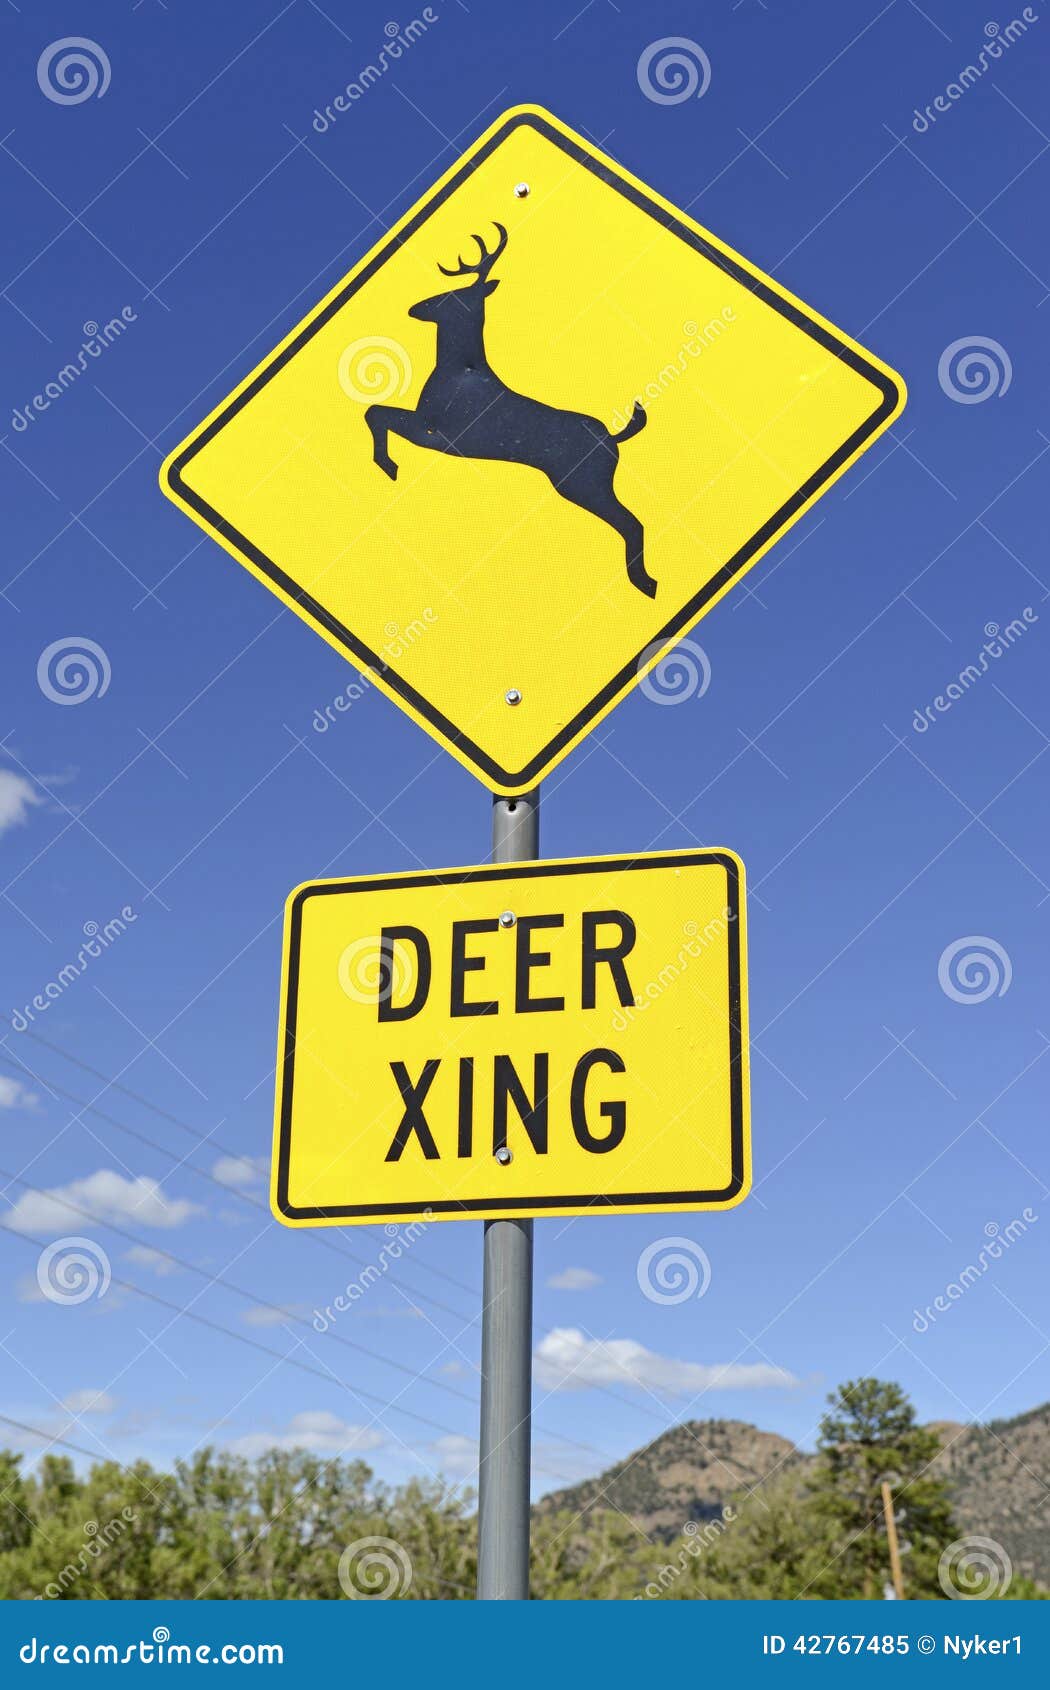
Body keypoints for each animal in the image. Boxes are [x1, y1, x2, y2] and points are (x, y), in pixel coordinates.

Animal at [365, 223, 656, 598]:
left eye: (452, 293)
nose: (415, 308)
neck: (459, 365)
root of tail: (615, 438)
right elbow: (376, 412)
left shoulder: (433, 430)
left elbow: (376, 411)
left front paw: (389, 466)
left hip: (584, 482)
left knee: (632, 522)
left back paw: (645, 584)